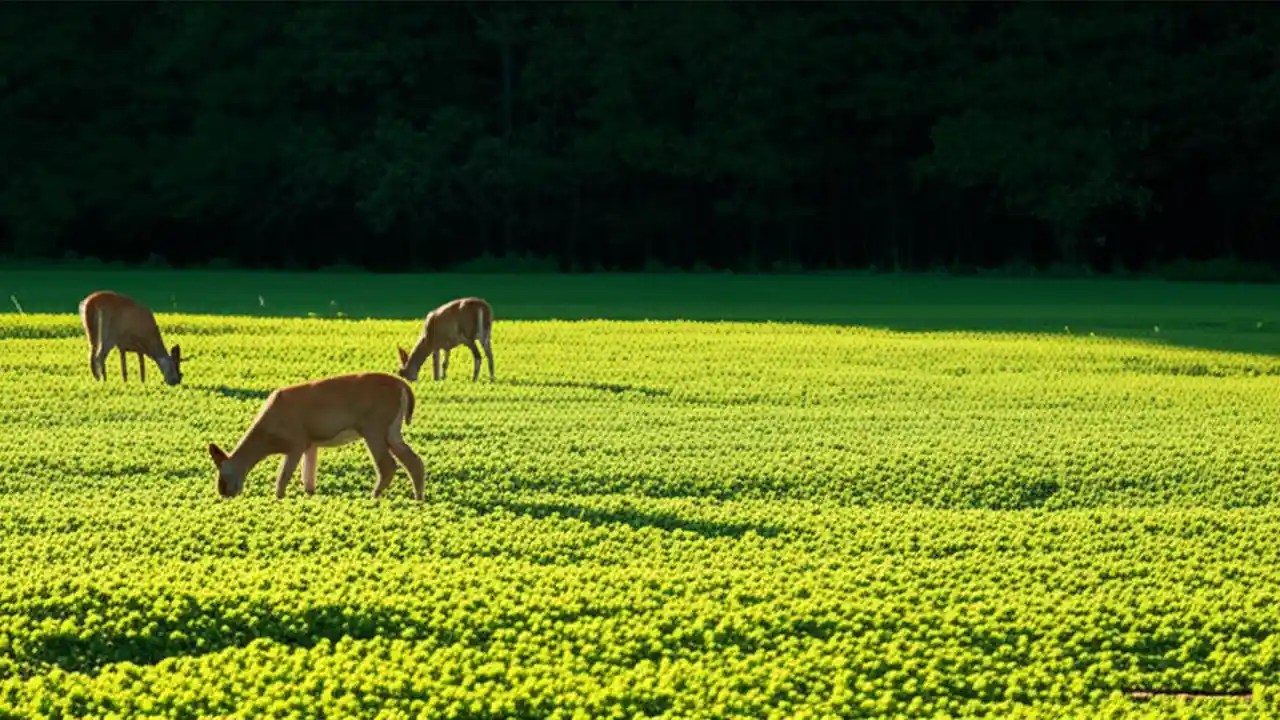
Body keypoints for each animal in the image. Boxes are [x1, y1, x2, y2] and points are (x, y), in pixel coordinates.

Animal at [208, 373, 426, 501]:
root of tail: (403, 387)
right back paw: (418, 498)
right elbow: (308, 479)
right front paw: (310, 497)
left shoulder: (297, 441)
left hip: (374, 425)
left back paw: (373, 496)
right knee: (415, 461)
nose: (223, 493)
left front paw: (278, 499)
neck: (267, 438)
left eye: (223, 476)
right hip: (392, 429)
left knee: (388, 464)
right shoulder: (310, 443)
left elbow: (283, 477)